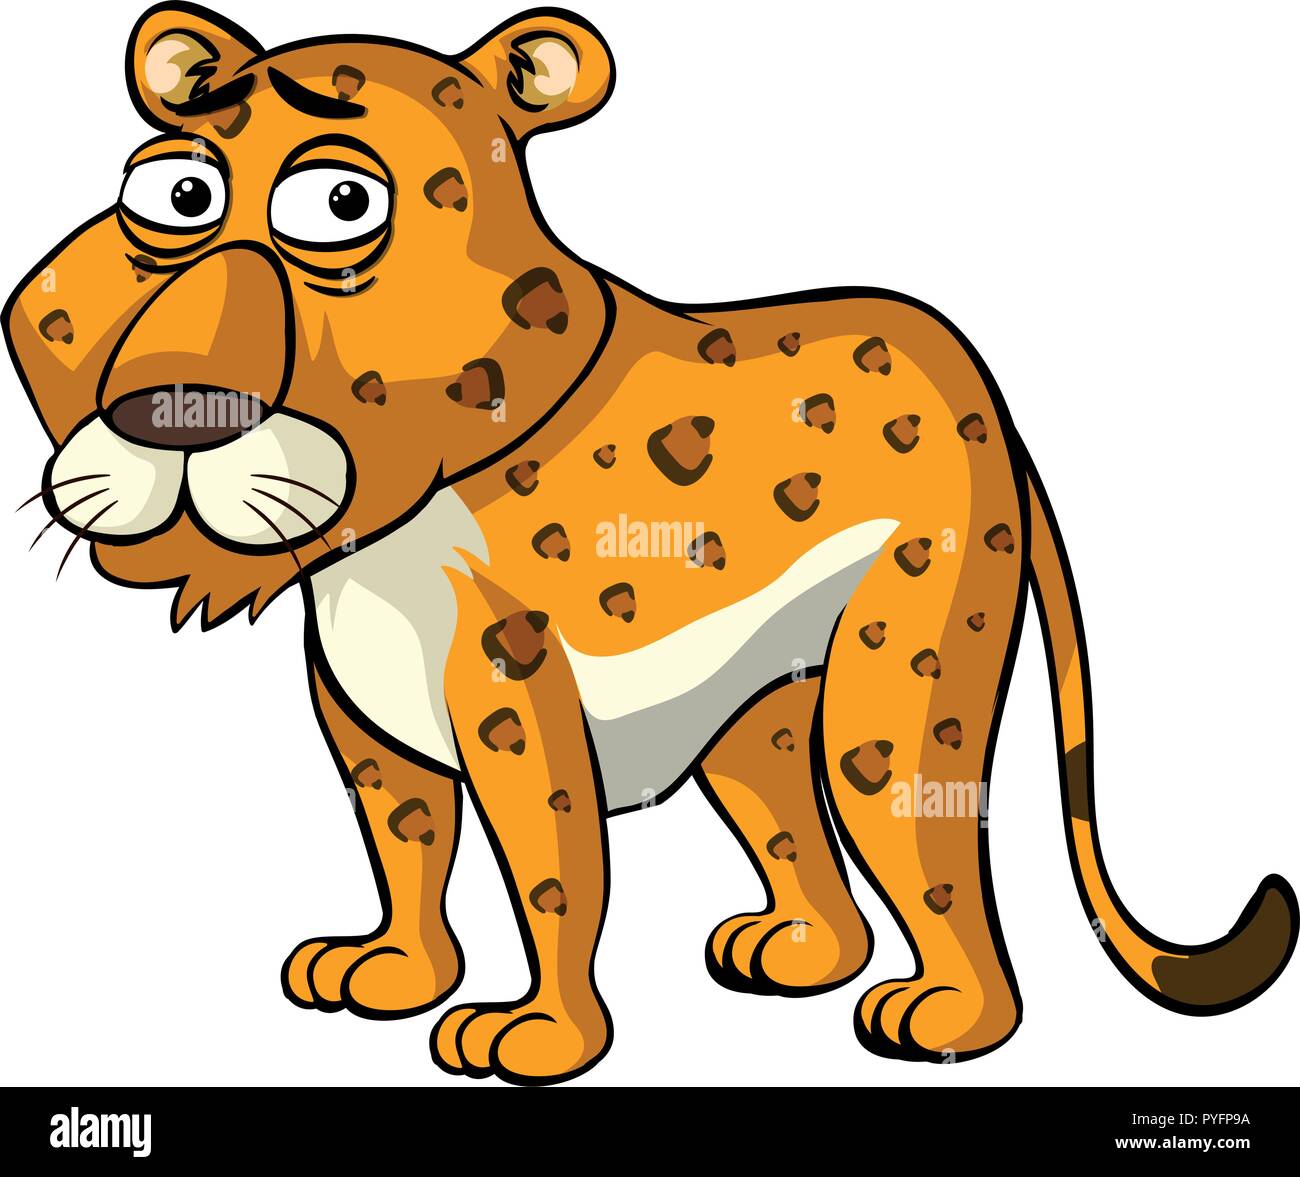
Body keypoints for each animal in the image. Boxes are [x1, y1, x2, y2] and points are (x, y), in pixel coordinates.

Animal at [5, 3, 1296, 1085]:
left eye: (339, 207)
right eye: (175, 195)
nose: (173, 412)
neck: (376, 527)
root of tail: (979, 381)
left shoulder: (513, 697)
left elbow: (551, 872)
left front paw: (537, 1035)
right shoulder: (364, 716)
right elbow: (407, 843)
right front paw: (396, 973)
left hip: (895, 681)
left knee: (921, 847)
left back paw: (945, 1019)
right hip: (759, 718)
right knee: (808, 853)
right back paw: (797, 952)